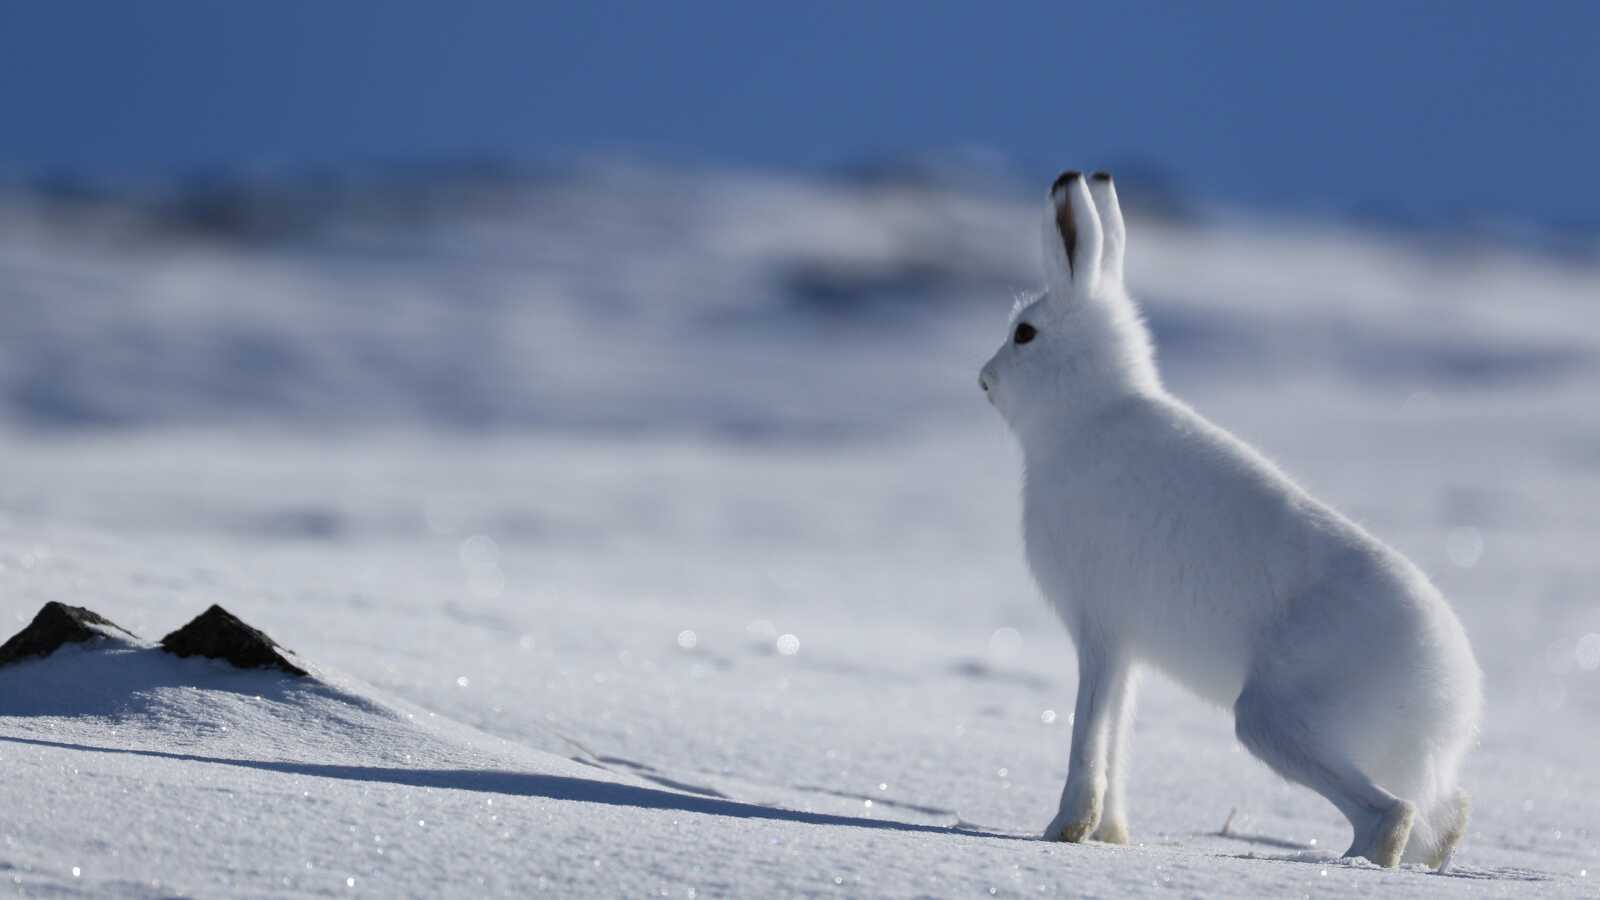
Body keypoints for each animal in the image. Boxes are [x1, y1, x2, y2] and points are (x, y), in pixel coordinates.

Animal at [978, 171, 1482, 870]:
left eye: (1024, 333)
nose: (984, 379)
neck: (1088, 410)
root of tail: (1451, 700)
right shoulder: (1124, 648)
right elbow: (1116, 735)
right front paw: (1112, 836)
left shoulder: (1100, 628)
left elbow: (1088, 734)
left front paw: (1064, 832)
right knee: (1441, 815)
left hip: (1271, 717)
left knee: (1390, 812)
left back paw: (1352, 861)